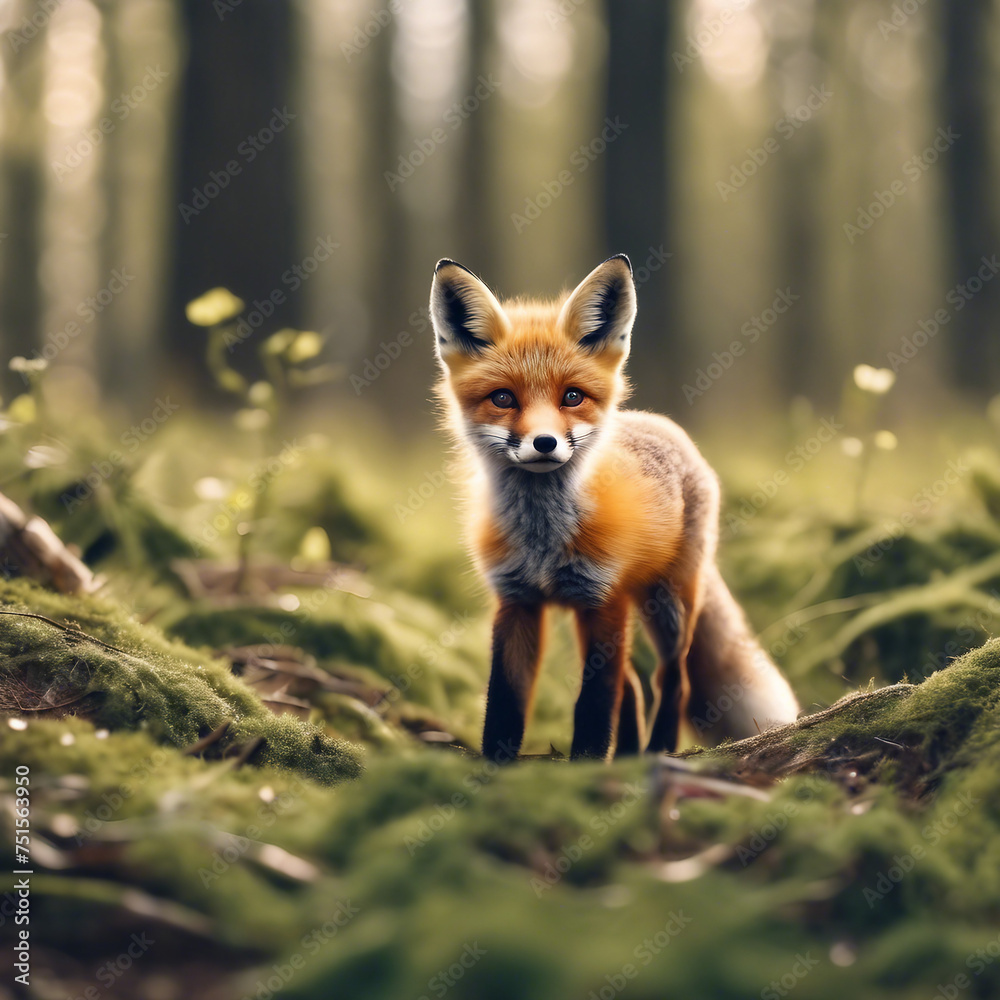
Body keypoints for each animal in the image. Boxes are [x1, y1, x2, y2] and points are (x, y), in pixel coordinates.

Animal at [429, 253, 799, 762]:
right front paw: (496, 767)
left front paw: (585, 766)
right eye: (503, 398)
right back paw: (626, 754)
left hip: (667, 604)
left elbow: (593, 704)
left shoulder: (603, 600)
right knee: (633, 687)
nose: (544, 443)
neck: (543, 541)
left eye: (572, 396)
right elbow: (505, 702)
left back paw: (657, 750)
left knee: (671, 680)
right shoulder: (518, 600)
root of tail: (660, 424)